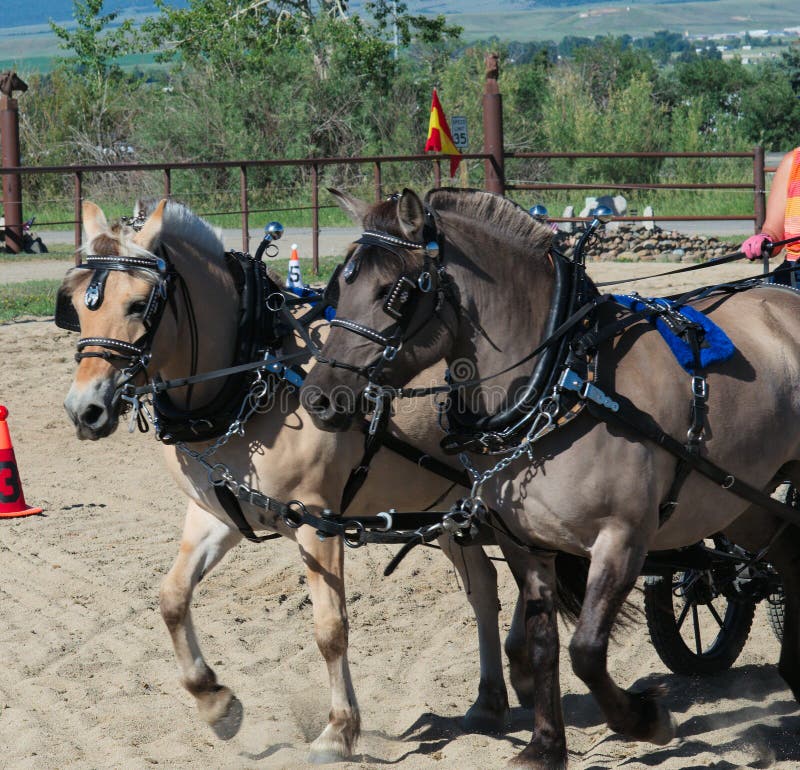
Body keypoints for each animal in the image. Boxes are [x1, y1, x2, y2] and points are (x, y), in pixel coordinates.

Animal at [57, 198, 527, 761]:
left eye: (140, 304)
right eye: (76, 305)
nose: (85, 410)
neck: (250, 376)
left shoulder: (318, 522)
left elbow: (330, 629)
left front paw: (339, 730)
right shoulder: (217, 514)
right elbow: (171, 597)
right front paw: (216, 704)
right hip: (446, 511)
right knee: (482, 589)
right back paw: (488, 704)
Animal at [301, 186, 800, 768]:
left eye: (394, 293)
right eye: (339, 286)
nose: (318, 397)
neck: (565, 378)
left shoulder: (623, 538)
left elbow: (586, 650)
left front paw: (647, 720)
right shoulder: (527, 545)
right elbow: (544, 646)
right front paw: (544, 746)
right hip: (741, 501)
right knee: (784, 556)